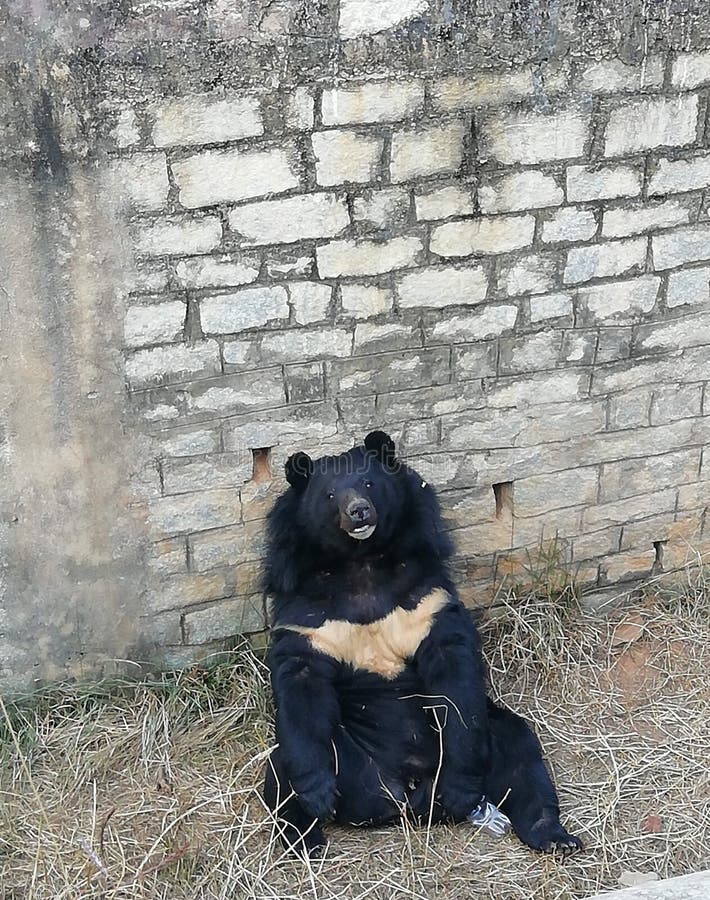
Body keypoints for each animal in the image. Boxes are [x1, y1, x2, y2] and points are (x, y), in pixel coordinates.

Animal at [263, 430, 582, 858]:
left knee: (521, 755)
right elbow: (300, 685)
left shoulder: (426, 597)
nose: (359, 512)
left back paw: (554, 836)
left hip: (492, 733)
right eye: (330, 494)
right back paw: (307, 841)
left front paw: (459, 791)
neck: (361, 562)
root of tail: (406, 798)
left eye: (369, 484)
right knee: (279, 774)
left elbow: (454, 678)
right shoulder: (308, 618)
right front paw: (318, 797)